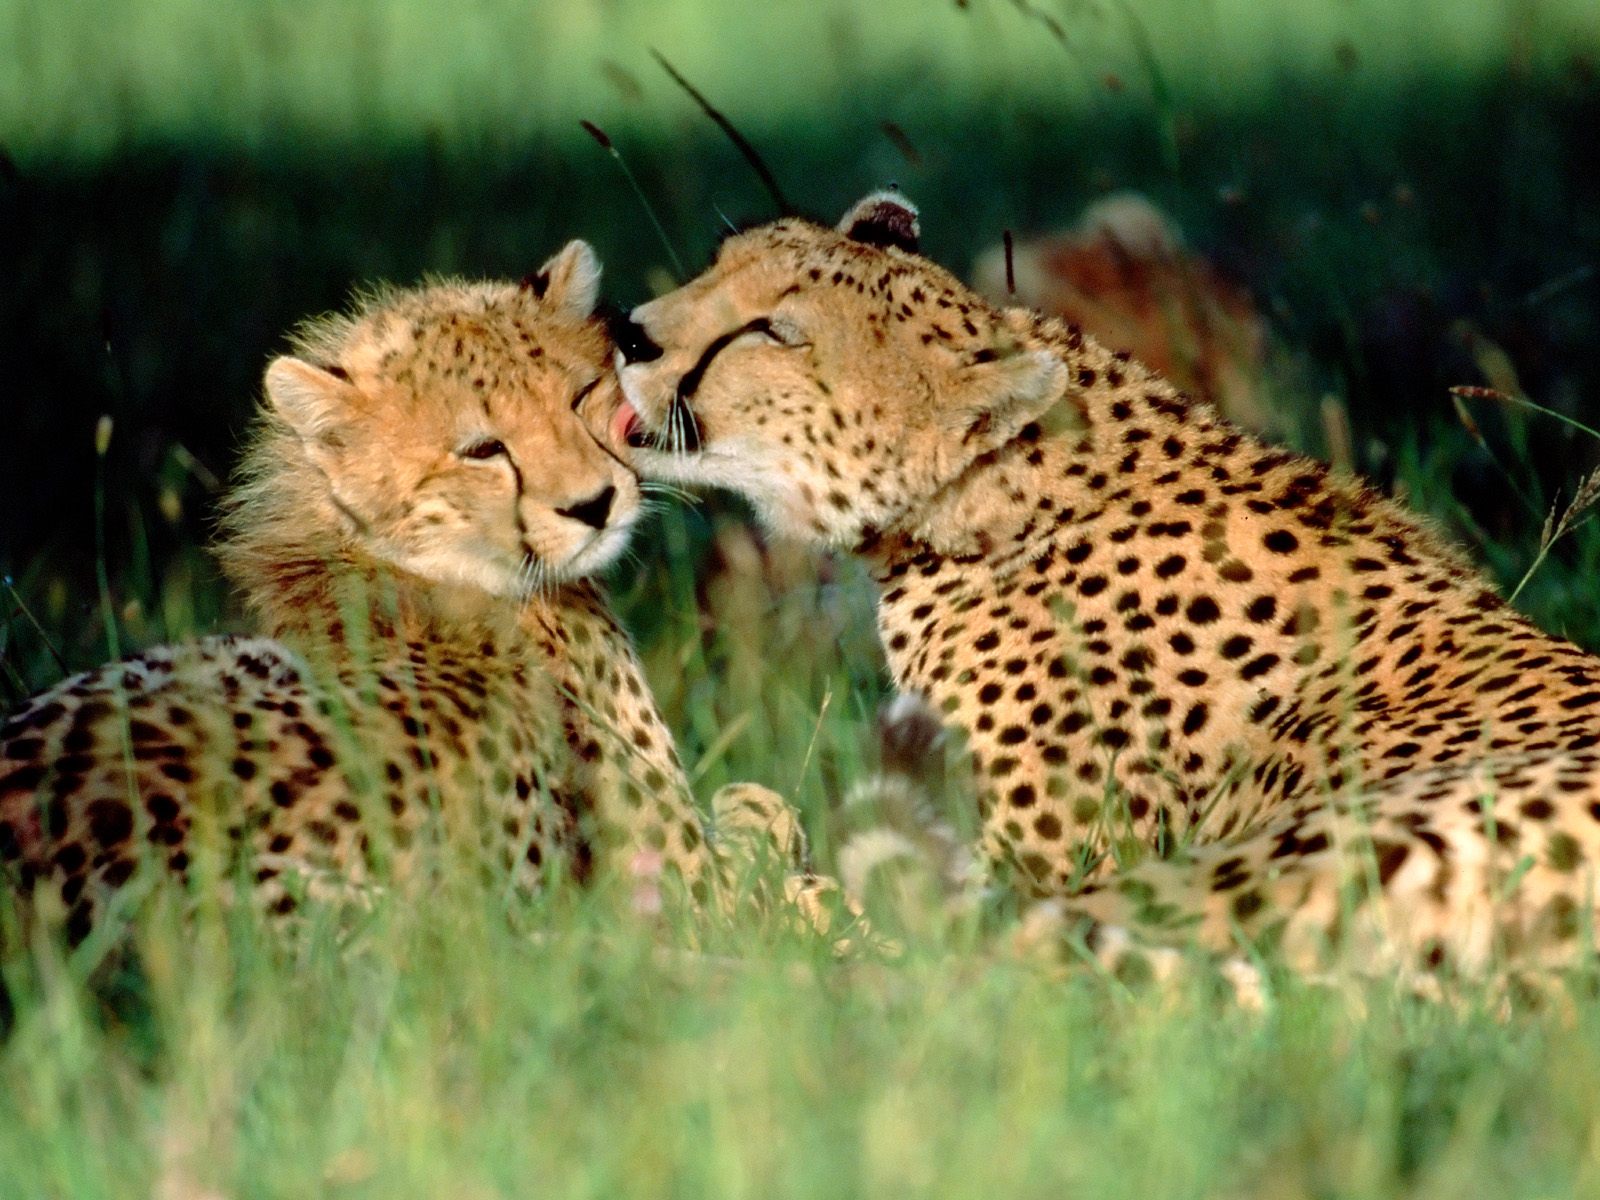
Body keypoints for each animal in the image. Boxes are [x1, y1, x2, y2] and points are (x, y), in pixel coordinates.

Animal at [609, 190, 1600, 977]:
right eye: (720, 265)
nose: (625, 331)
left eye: (774, 331)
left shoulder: (1039, 866)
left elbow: (836, 909)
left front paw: (742, 829)